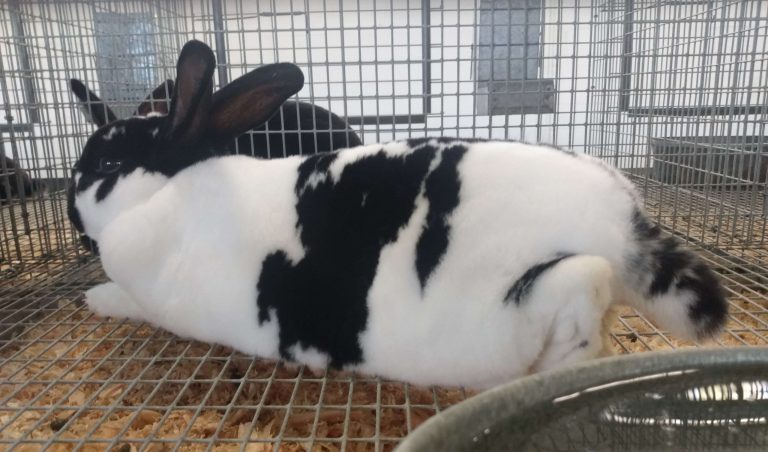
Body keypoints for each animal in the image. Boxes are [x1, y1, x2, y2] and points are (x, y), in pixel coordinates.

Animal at [67, 40, 728, 390]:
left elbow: (126, 300)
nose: (73, 216)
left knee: (582, 287)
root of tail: (620, 231)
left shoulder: (152, 291)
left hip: (516, 309)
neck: (159, 194)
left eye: (106, 161)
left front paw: (94, 299)